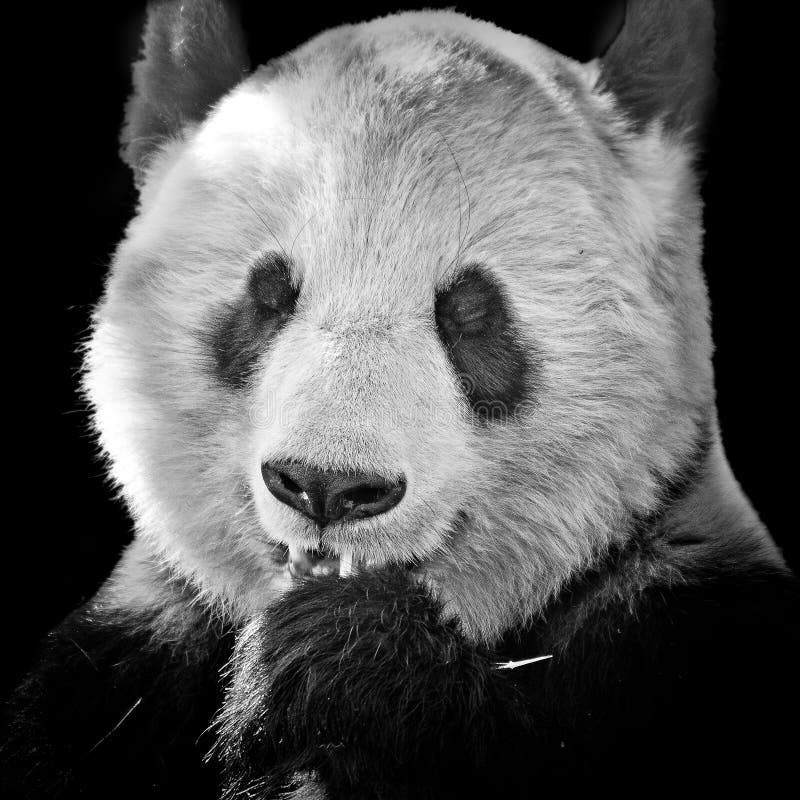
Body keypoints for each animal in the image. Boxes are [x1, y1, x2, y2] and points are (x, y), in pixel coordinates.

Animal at [2, 0, 798, 797]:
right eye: (268, 295)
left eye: (470, 312)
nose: (327, 486)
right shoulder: (119, 668)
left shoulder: (682, 628)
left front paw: (343, 661)